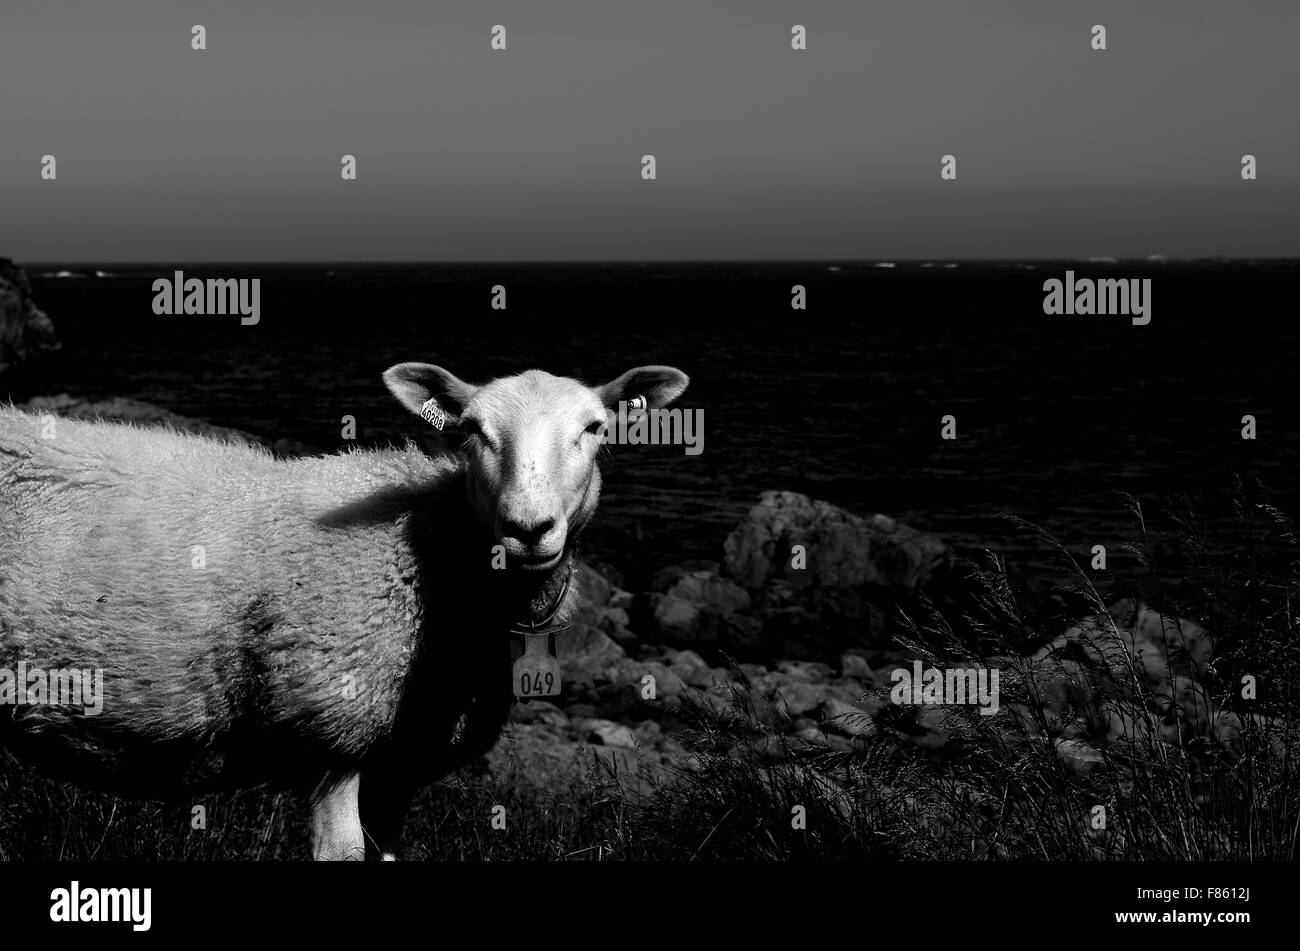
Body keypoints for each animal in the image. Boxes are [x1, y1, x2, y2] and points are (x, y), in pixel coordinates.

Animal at [0, 361, 690, 859]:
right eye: (470, 430)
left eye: (595, 428)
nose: (527, 529)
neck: (429, 554)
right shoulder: (331, 732)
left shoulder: (401, 763)